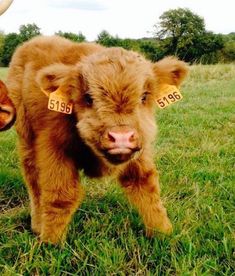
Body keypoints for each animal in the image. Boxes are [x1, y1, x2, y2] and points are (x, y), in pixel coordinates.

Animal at [6, 35, 188, 244]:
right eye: (88, 98)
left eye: (144, 96)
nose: (121, 137)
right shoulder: (54, 150)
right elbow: (61, 196)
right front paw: (50, 243)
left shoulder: (140, 153)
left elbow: (146, 187)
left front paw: (163, 234)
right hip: (26, 136)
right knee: (33, 178)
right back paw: (37, 225)